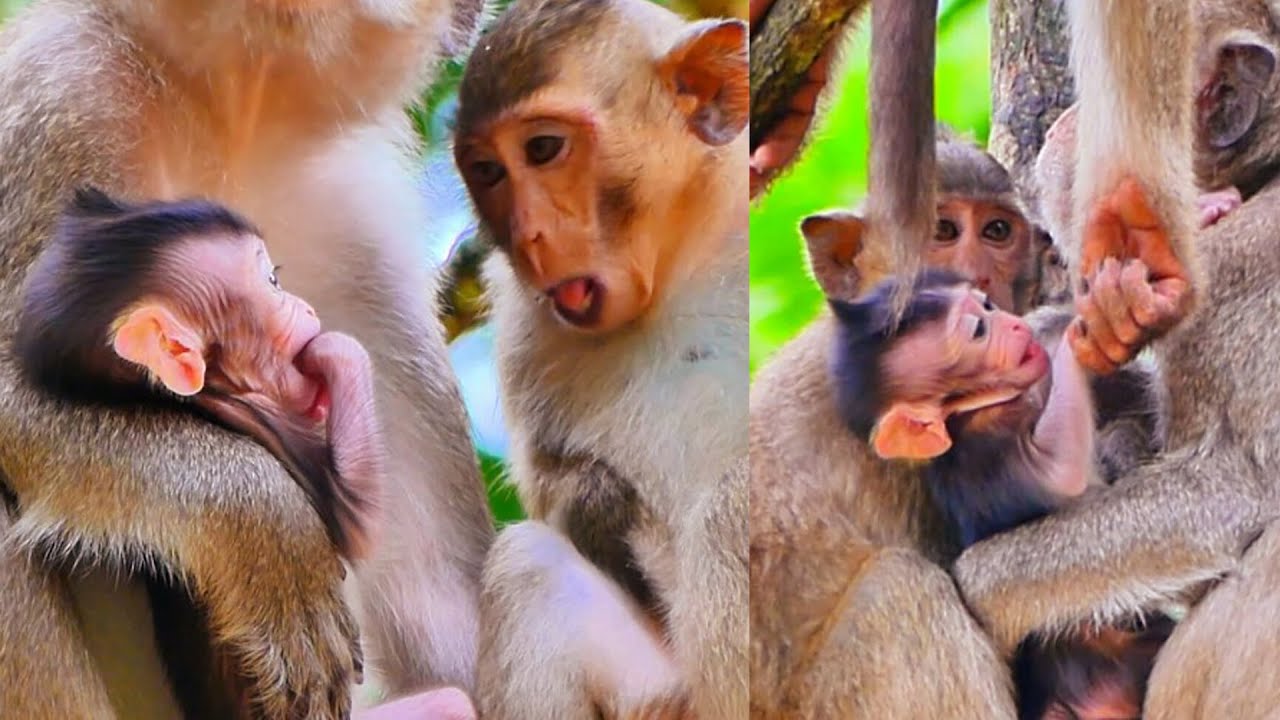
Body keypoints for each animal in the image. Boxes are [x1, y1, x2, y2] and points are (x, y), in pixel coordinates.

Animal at [452, 0, 748, 717]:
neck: (679, 261)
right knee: (528, 567)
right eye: (488, 171)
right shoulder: (525, 325)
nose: (529, 235)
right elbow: (548, 489)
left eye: (543, 149)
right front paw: (597, 502)